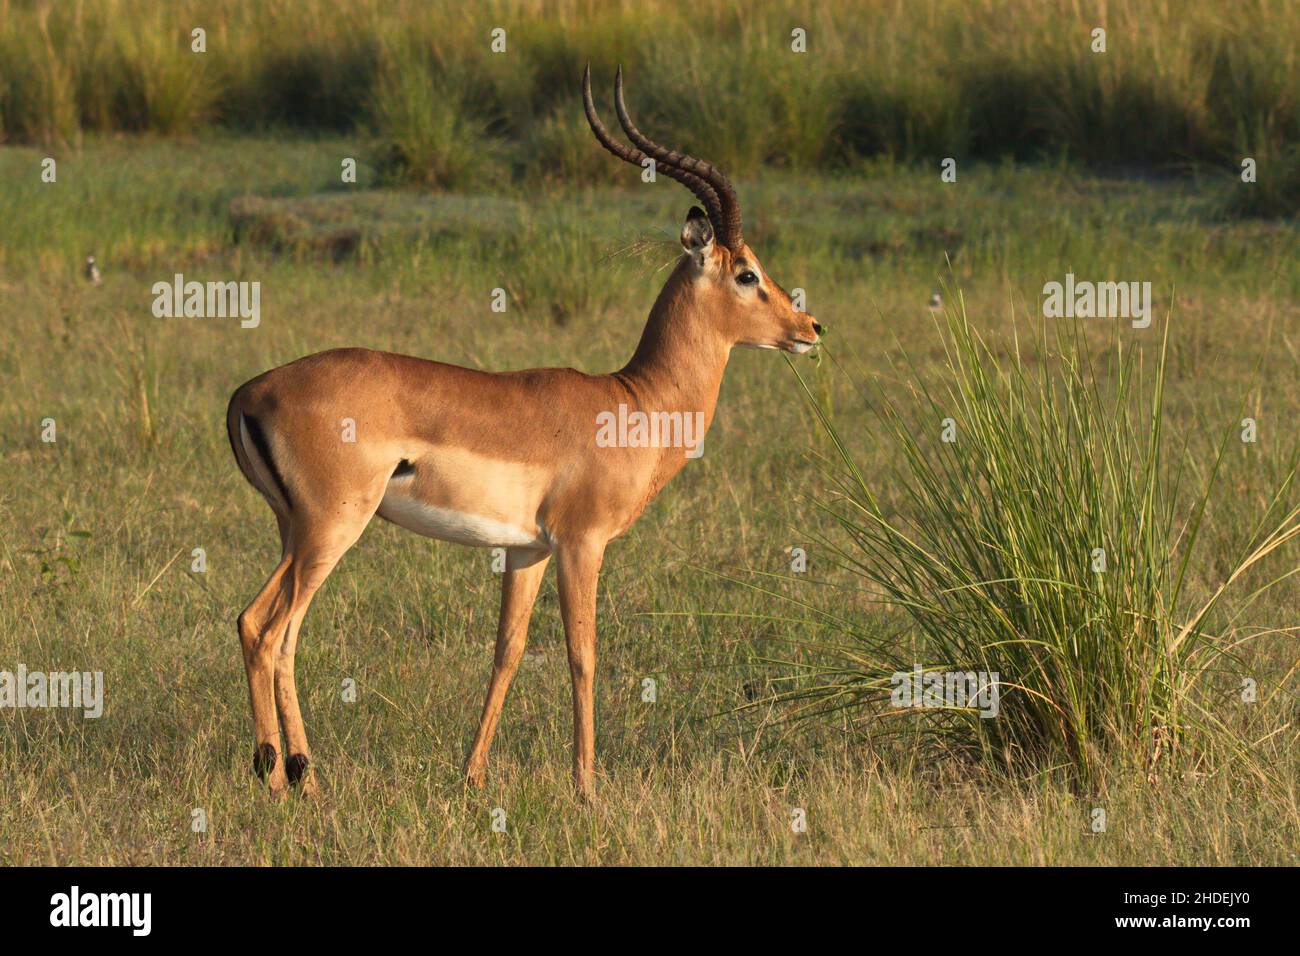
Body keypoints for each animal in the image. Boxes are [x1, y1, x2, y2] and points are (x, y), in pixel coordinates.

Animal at [225, 67, 821, 800]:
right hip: (331, 529)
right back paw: (286, 778)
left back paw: (295, 778)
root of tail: (251, 391)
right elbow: (582, 654)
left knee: (266, 629)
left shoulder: (524, 550)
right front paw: (587, 787)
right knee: (269, 629)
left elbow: (506, 651)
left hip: (293, 530)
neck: (633, 403)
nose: (810, 327)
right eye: (747, 273)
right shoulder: (580, 544)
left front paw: (472, 777)